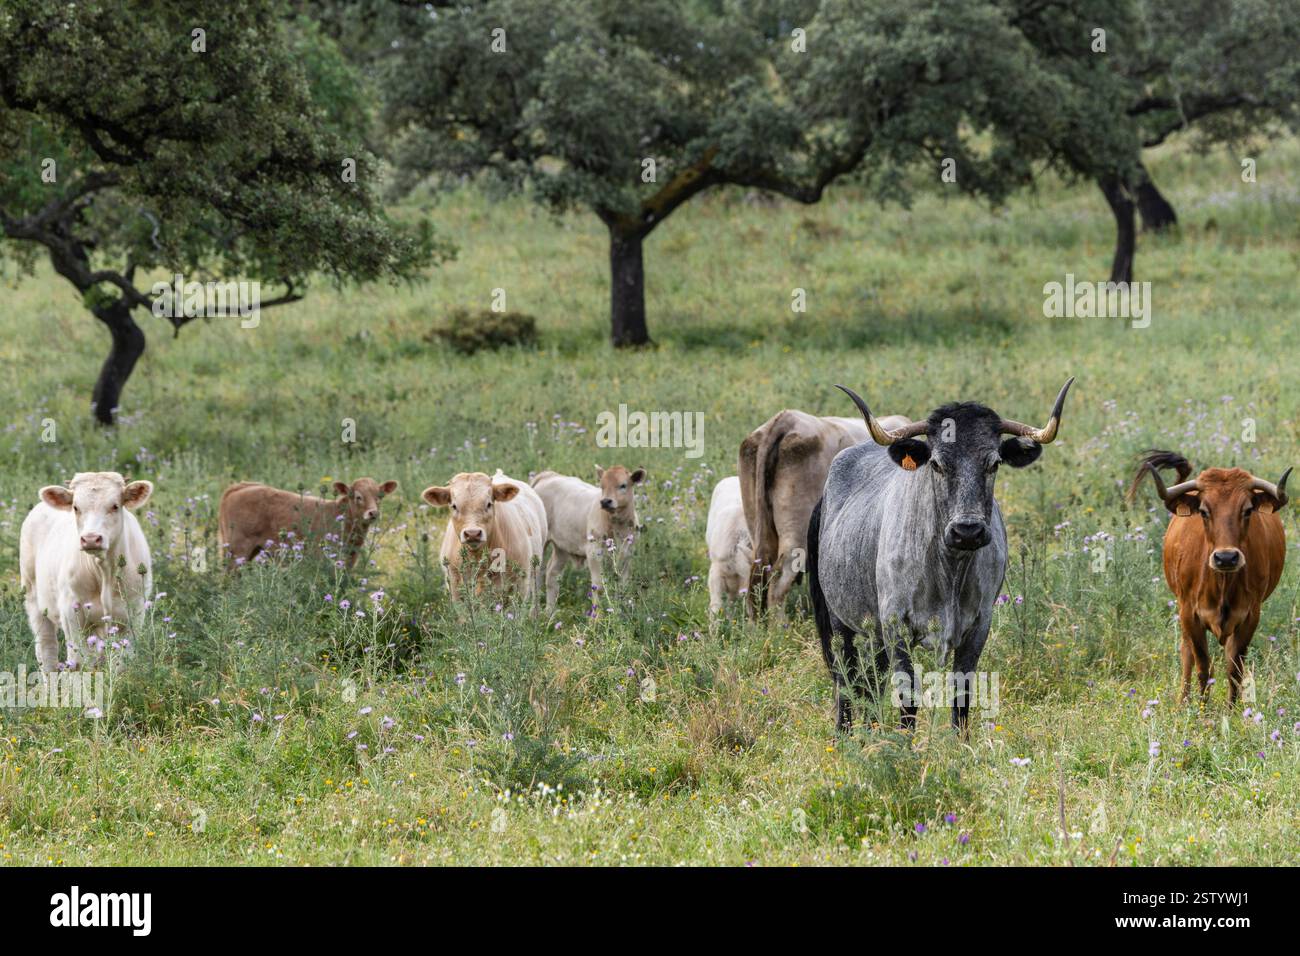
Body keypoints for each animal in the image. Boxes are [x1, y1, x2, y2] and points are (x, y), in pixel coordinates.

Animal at [19, 472, 154, 673]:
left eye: (115, 505)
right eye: (76, 507)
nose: (90, 539)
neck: (103, 572)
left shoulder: (133, 613)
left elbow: (121, 664)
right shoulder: (71, 612)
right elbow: (78, 663)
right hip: (34, 599)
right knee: (46, 650)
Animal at [530, 465, 645, 610]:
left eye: (623, 485)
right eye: (602, 486)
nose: (605, 501)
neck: (617, 526)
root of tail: (549, 475)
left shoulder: (627, 554)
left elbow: (623, 586)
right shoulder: (594, 552)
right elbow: (599, 587)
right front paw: (596, 616)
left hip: (563, 545)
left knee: (552, 574)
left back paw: (549, 611)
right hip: (540, 542)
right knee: (536, 573)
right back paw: (533, 611)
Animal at [808, 378, 1073, 732]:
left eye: (994, 463)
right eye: (936, 463)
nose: (967, 530)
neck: (950, 569)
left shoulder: (978, 626)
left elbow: (962, 693)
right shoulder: (896, 625)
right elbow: (907, 696)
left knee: (871, 681)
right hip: (840, 622)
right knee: (846, 680)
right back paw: (843, 735)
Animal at [1127, 450, 1289, 706]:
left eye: (1247, 510)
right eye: (1204, 511)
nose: (1226, 557)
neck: (1222, 583)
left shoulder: (1250, 616)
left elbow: (1234, 668)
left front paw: (1232, 710)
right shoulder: (1189, 614)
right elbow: (1203, 666)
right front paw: (1202, 710)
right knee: (1186, 654)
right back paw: (1182, 702)